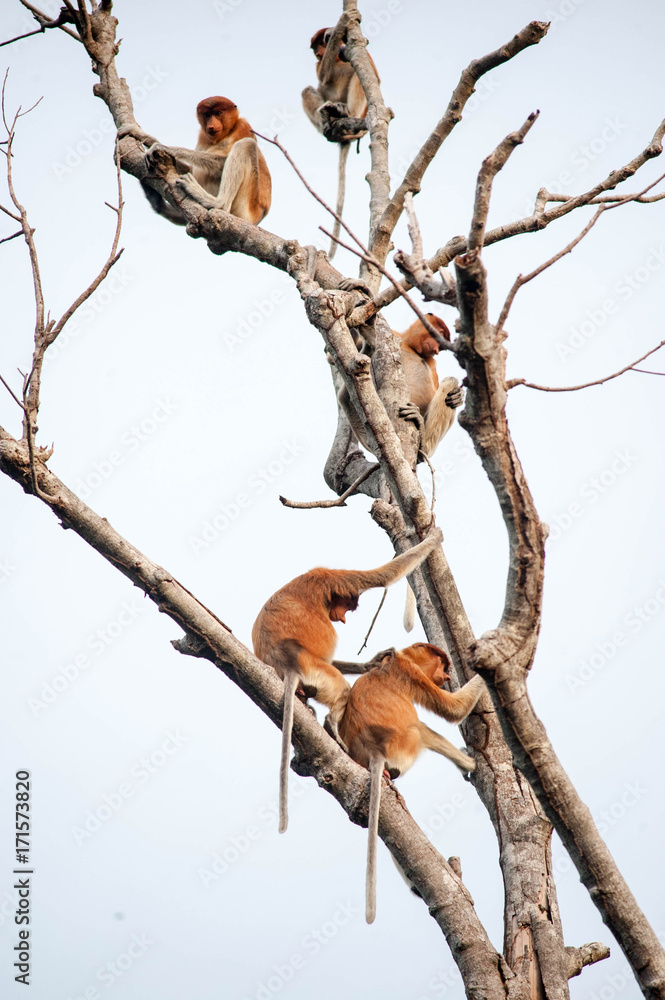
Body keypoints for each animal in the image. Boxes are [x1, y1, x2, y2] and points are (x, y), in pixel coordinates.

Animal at [131, 96, 271, 226]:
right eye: (207, 114)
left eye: (218, 113)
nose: (211, 126)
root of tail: (257, 219)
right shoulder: (202, 136)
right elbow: (191, 170)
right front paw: (142, 135)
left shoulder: (243, 127)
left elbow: (222, 162)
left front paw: (166, 147)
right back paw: (156, 201)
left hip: (246, 208)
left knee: (246, 145)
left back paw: (217, 203)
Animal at [251, 527, 443, 834]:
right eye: (349, 604)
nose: (341, 618)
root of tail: (286, 665)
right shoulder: (334, 578)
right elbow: (382, 576)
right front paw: (434, 538)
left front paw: (373, 662)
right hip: (313, 670)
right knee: (341, 687)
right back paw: (331, 725)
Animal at [302, 26, 379, 260]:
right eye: (314, 48)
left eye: (320, 44)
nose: (319, 52)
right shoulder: (319, 64)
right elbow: (322, 75)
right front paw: (338, 28)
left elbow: (373, 76)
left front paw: (337, 30)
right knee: (308, 90)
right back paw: (330, 122)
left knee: (356, 76)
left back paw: (345, 114)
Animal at [338, 643, 484, 923]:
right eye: (442, 665)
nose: (446, 677)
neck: (400, 658)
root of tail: (373, 752)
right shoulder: (412, 672)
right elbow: (453, 709)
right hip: (405, 745)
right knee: (420, 728)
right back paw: (469, 764)